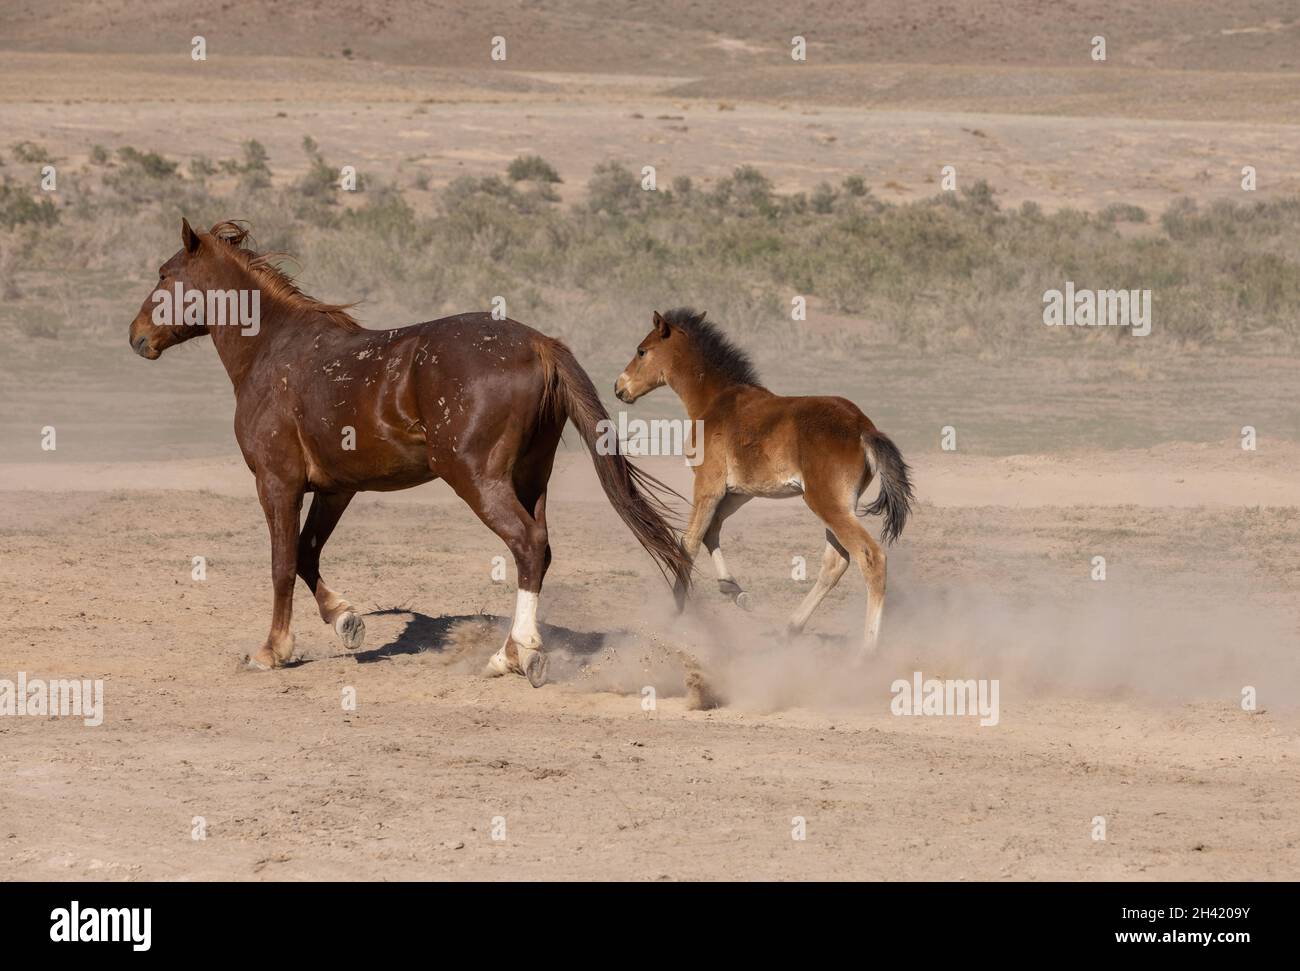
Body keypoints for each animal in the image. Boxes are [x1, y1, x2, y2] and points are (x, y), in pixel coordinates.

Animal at [127, 219, 690, 686]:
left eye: (165, 275)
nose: (136, 337)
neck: (274, 351)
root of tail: (538, 344)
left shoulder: (277, 483)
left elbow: (282, 563)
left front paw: (273, 651)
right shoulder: (336, 489)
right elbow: (308, 554)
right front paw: (346, 621)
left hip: (476, 479)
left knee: (528, 545)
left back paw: (517, 654)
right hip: (530, 479)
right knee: (541, 548)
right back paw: (513, 652)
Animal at [614, 308, 914, 656]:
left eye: (641, 351)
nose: (619, 387)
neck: (714, 401)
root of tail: (863, 427)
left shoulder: (708, 484)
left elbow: (689, 541)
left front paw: (675, 609)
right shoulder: (739, 492)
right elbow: (711, 531)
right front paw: (734, 591)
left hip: (827, 503)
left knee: (870, 558)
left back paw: (866, 653)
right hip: (839, 505)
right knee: (836, 563)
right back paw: (789, 629)